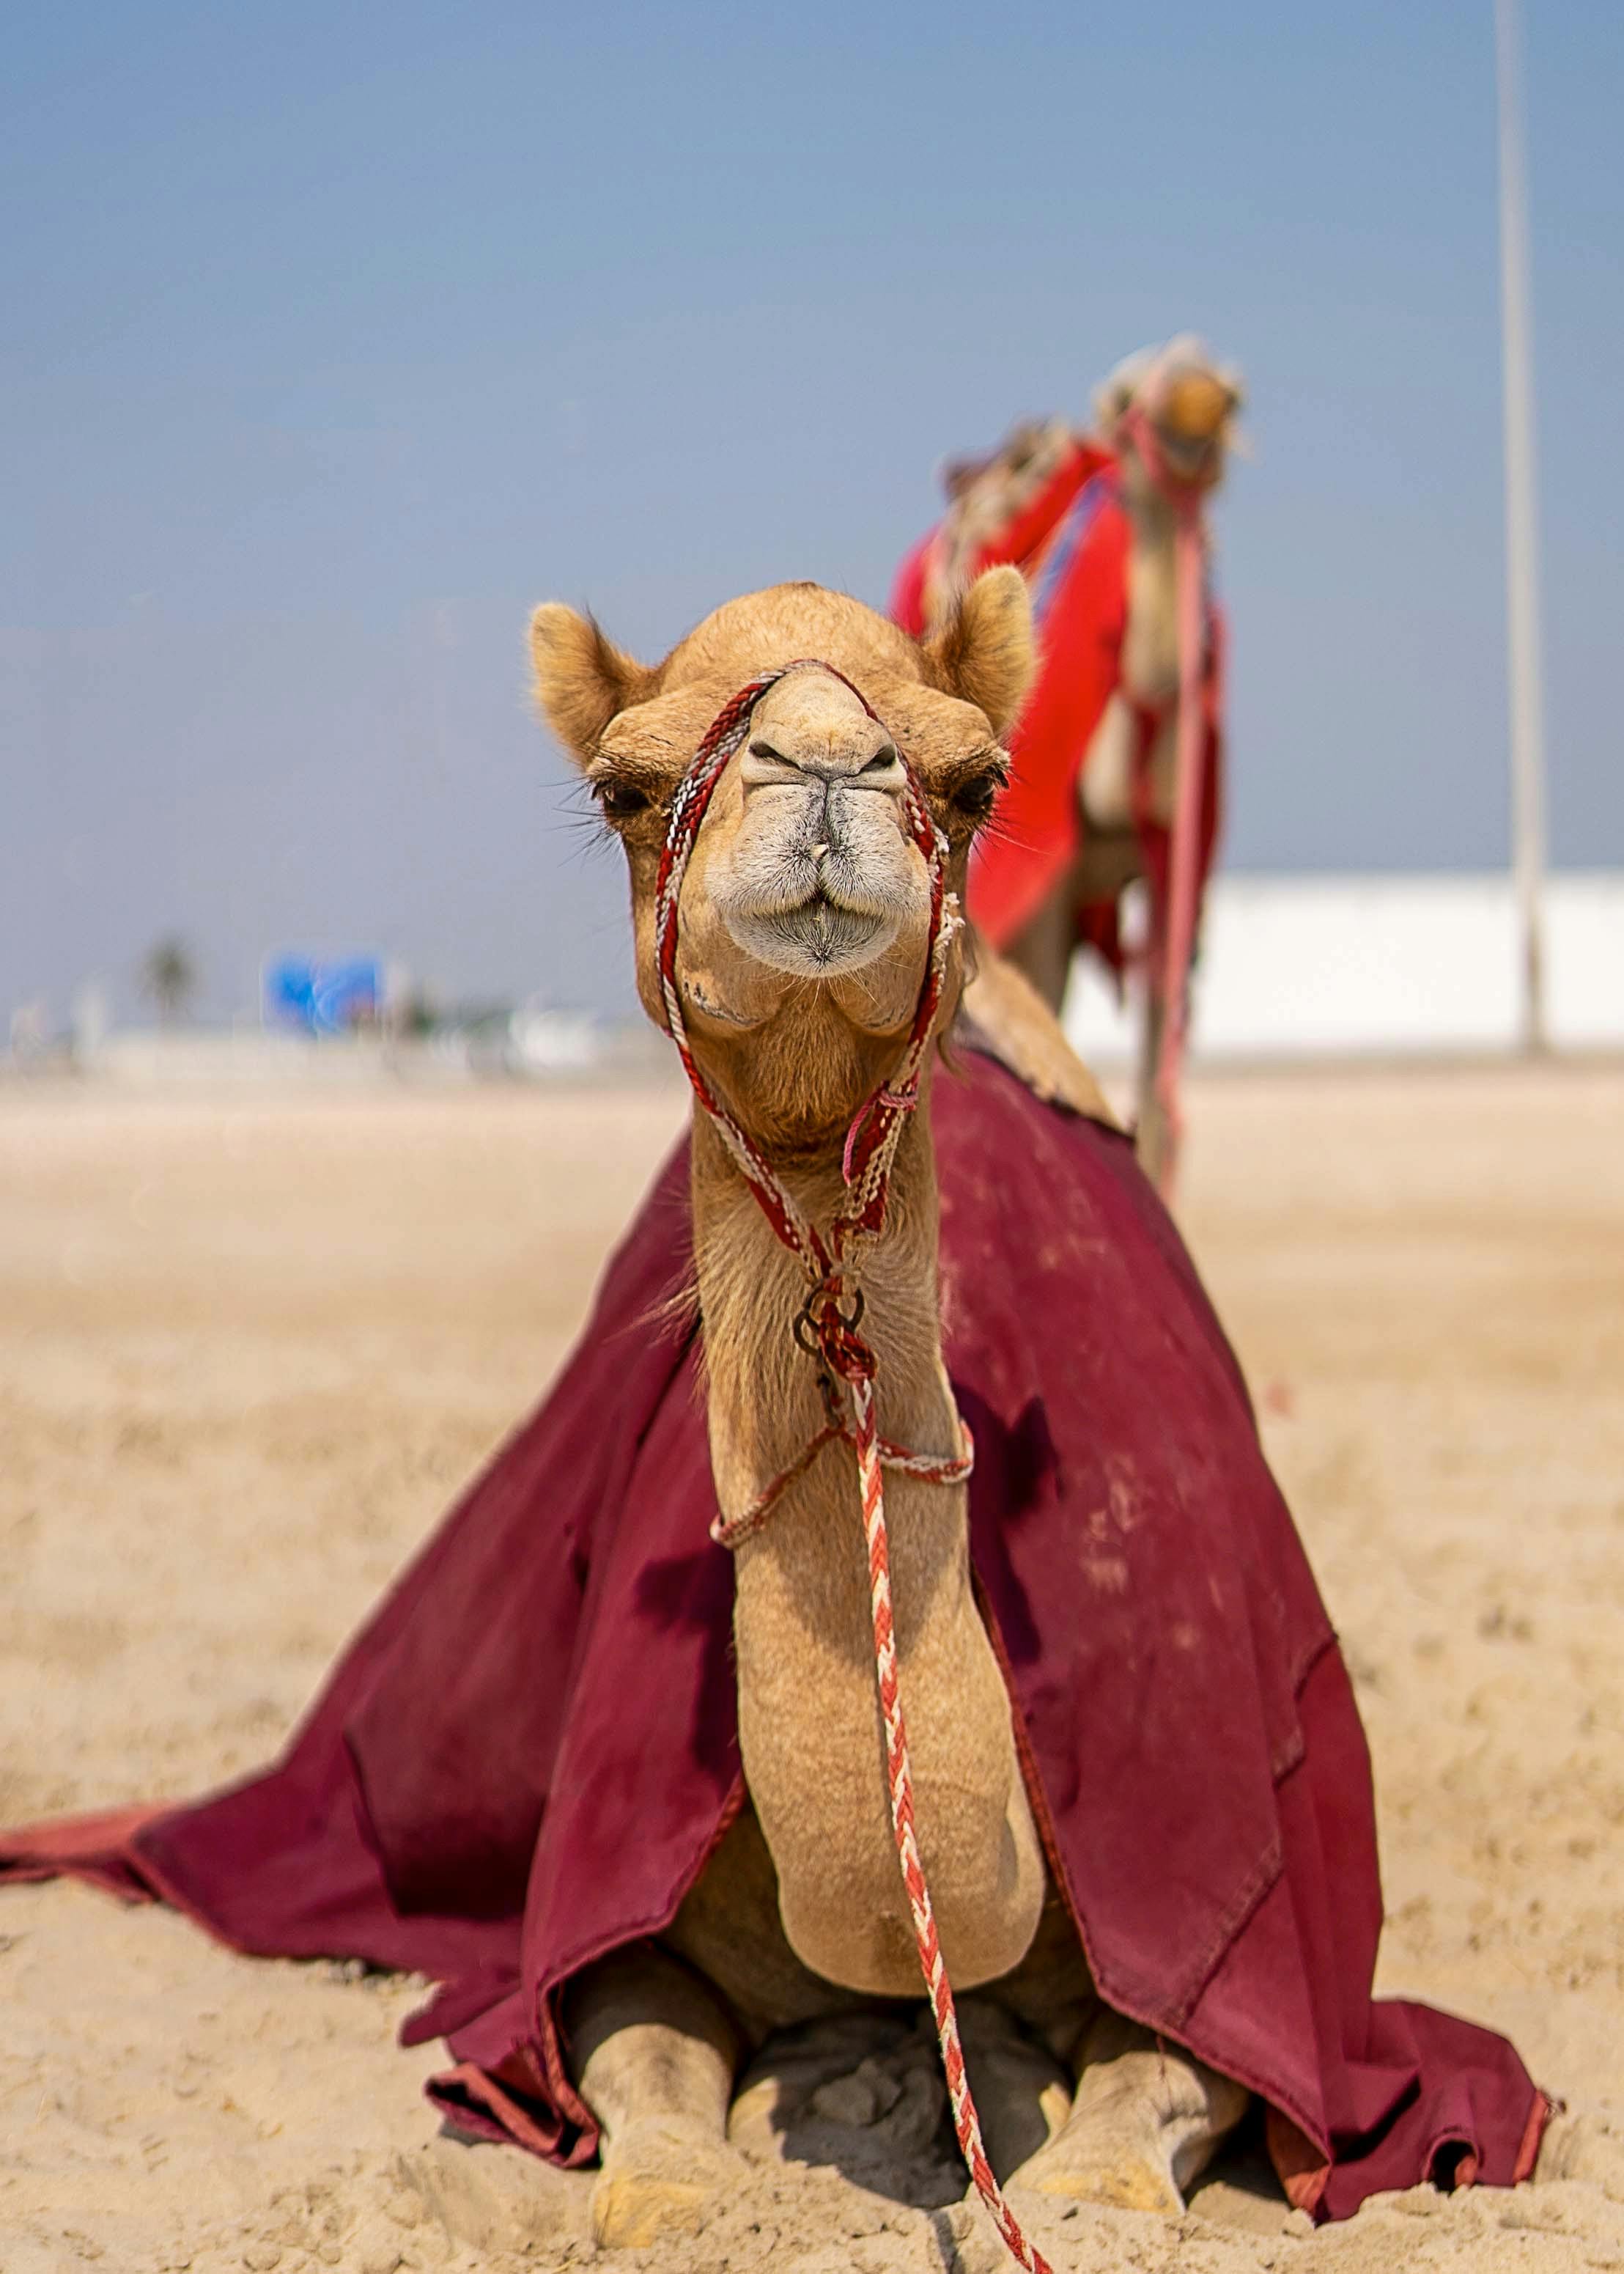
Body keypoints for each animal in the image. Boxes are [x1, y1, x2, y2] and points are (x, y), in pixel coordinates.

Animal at [530, 570, 1247, 2253]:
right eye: (624, 787)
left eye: (977, 780)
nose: (822, 773)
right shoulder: (614, 1936)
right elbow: (638, 2069)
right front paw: (683, 2193)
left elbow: (1151, 2088)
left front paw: (1080, 2182)